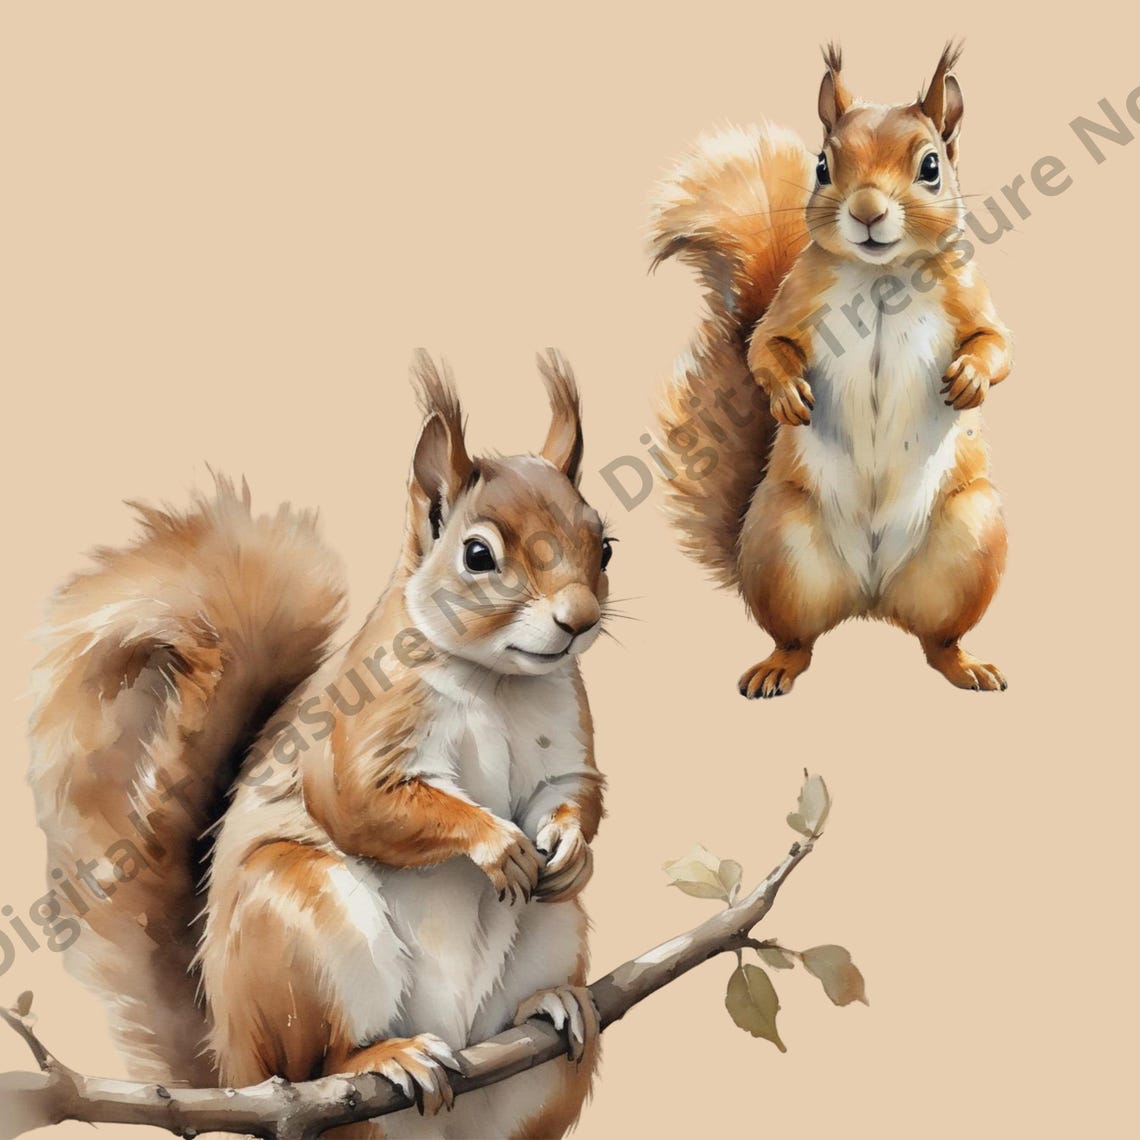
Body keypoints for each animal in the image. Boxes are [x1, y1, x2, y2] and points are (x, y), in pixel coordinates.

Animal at [28, 351, 611, 1139]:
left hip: (553, 946)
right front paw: (495, 842)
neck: (500, 683)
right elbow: (361, 801)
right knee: (316, 1061)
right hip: (300, 924)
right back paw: (385, 1057)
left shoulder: (567, 742)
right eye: (478, 555)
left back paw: (553, 1006)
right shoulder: (358, 731)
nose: (579, 620)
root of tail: (234, 1071)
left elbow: (573, 793)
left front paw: (569, 850)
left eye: (604, 544)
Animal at [651, 43, 1012, 697]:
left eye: (931, 166)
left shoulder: (970, 296)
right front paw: (788, 395)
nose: (866, 211)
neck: (882, 274)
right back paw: (775, 668)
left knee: (938, 639)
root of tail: (870, 598)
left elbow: (995, 343)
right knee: (797, 638)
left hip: (969, 543)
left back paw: (965, 665)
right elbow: (764, 346)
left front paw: (970, 379)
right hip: (782, 545)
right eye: (822, 166)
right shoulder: (796, 299)